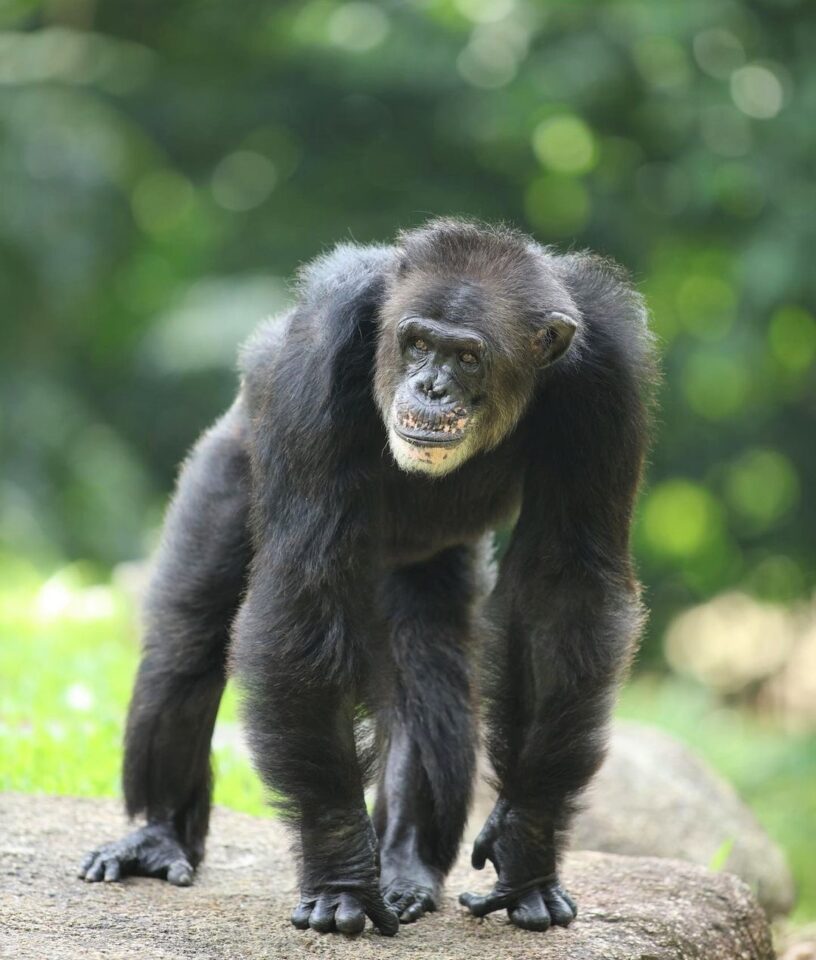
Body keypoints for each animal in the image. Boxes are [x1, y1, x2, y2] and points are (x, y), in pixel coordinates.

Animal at [79, 218, 655, 937]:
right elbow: (303, 591)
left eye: (468, 357)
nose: (431, 387)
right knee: (188, 639)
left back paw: (407, 865)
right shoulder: (317, 358)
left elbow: (564, 590)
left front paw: (527, 844)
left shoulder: (610, 378)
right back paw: (156, 836)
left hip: (432, 562)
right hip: (229, 460)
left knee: (425, 674)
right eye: (417, 344)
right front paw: (342, 875)